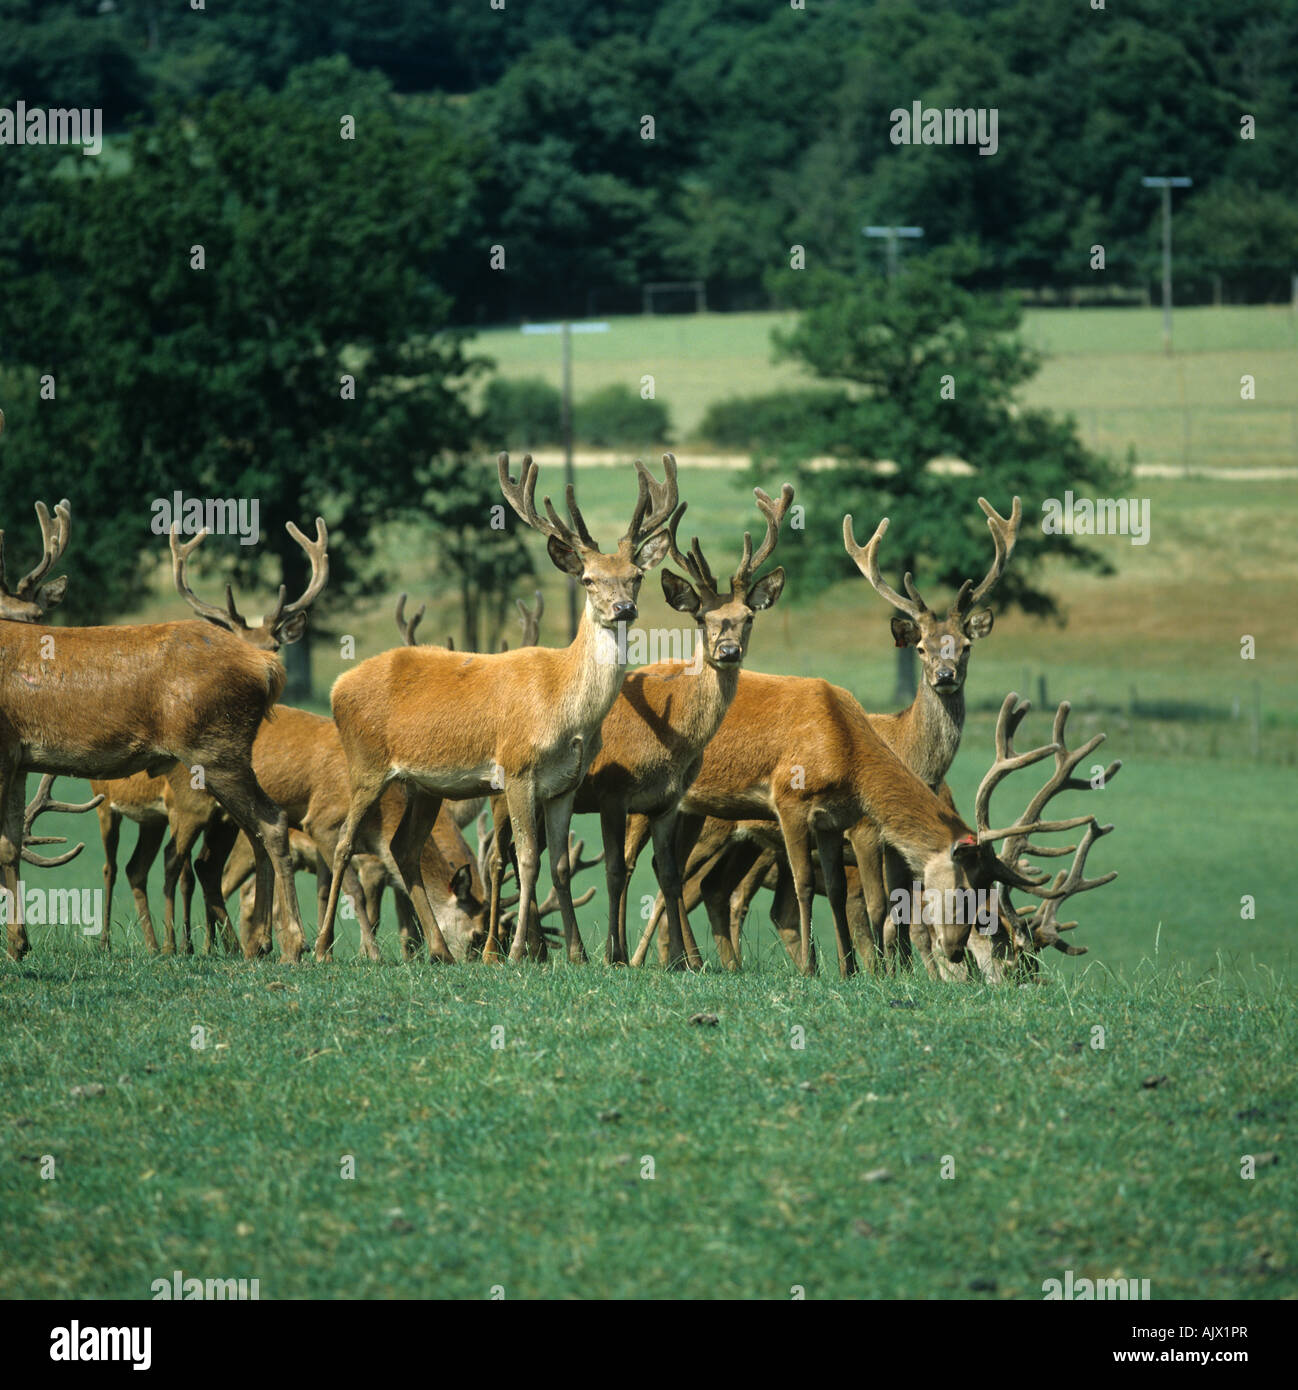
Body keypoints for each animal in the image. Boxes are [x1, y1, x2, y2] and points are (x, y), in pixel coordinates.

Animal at [0, 479, 328, 961]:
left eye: (35, 615)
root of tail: (267, 667)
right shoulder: (21, 759)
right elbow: (10, 843)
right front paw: (19, 943)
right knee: (253, 832)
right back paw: (260, 944)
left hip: (216, 748)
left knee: (271, 823)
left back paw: (293, 944)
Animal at [317, 451, 678, 965]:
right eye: (588, 580)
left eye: (637, 577)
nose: (624, 608)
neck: (565, 709)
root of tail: (337, 687)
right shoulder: (519, 769)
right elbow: (526, 861)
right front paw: (513, 952)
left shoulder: (566, 784)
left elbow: (561, 866)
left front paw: (578, 954)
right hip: (365, 763)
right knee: (345, 842)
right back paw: (323, 947)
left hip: (423, 784)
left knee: (403, 847)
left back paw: (440, 951)